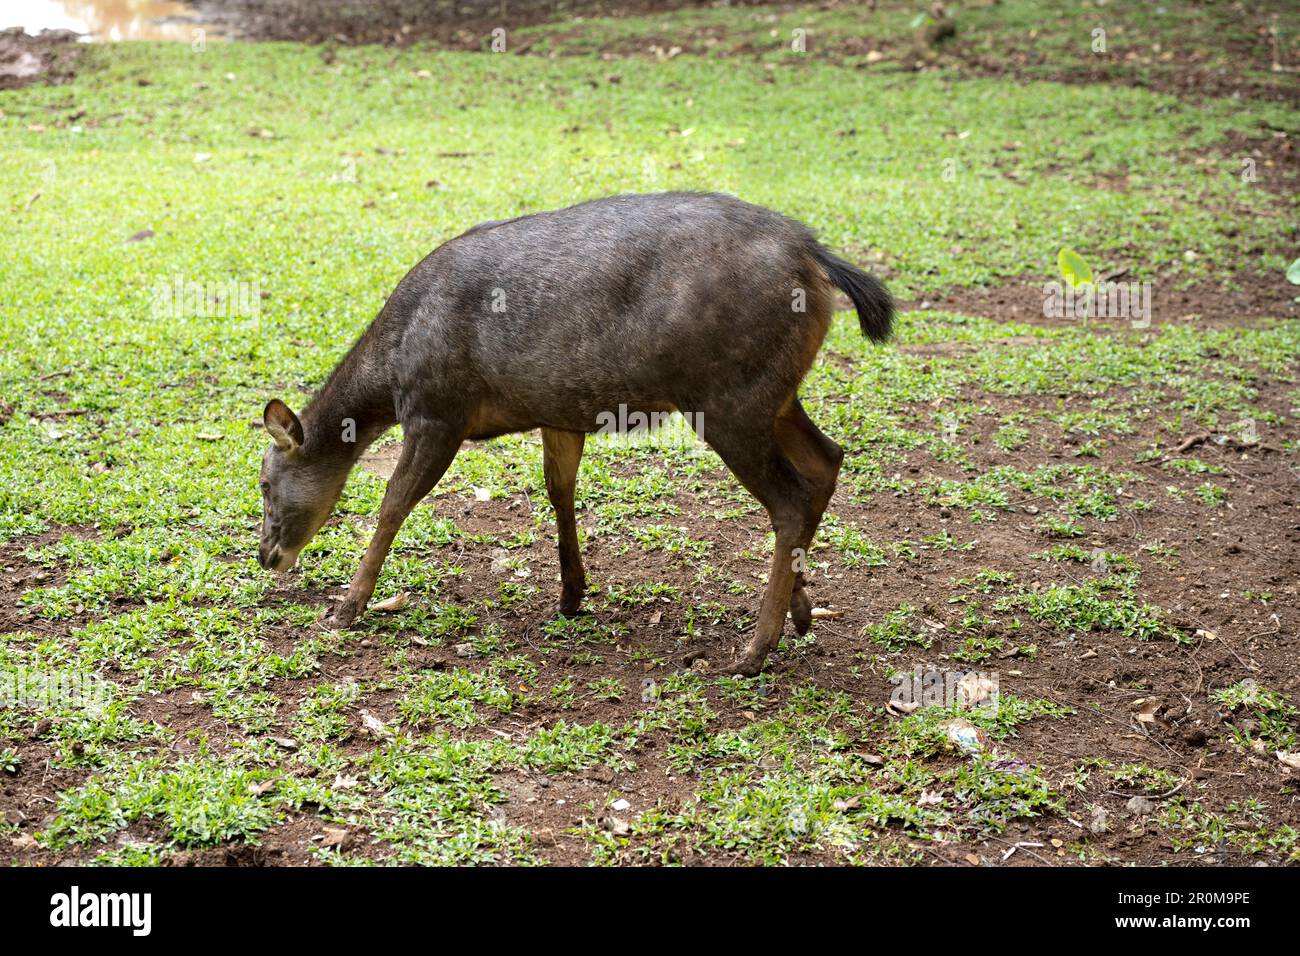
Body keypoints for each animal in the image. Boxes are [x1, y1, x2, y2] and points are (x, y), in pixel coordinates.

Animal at [258, 192, 893, 675]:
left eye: (264, 483)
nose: (266, 556)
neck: (392, 372)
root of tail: (815, 256)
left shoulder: (439, 412)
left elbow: (393, 503)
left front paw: (347, 608)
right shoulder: (557, 411)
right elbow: (559, 490)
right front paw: (570, 594)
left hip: (727, 400)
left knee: (789, 497)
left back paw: (754, 650)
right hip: (773, 395)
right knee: (827, 460)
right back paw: (801, 614)